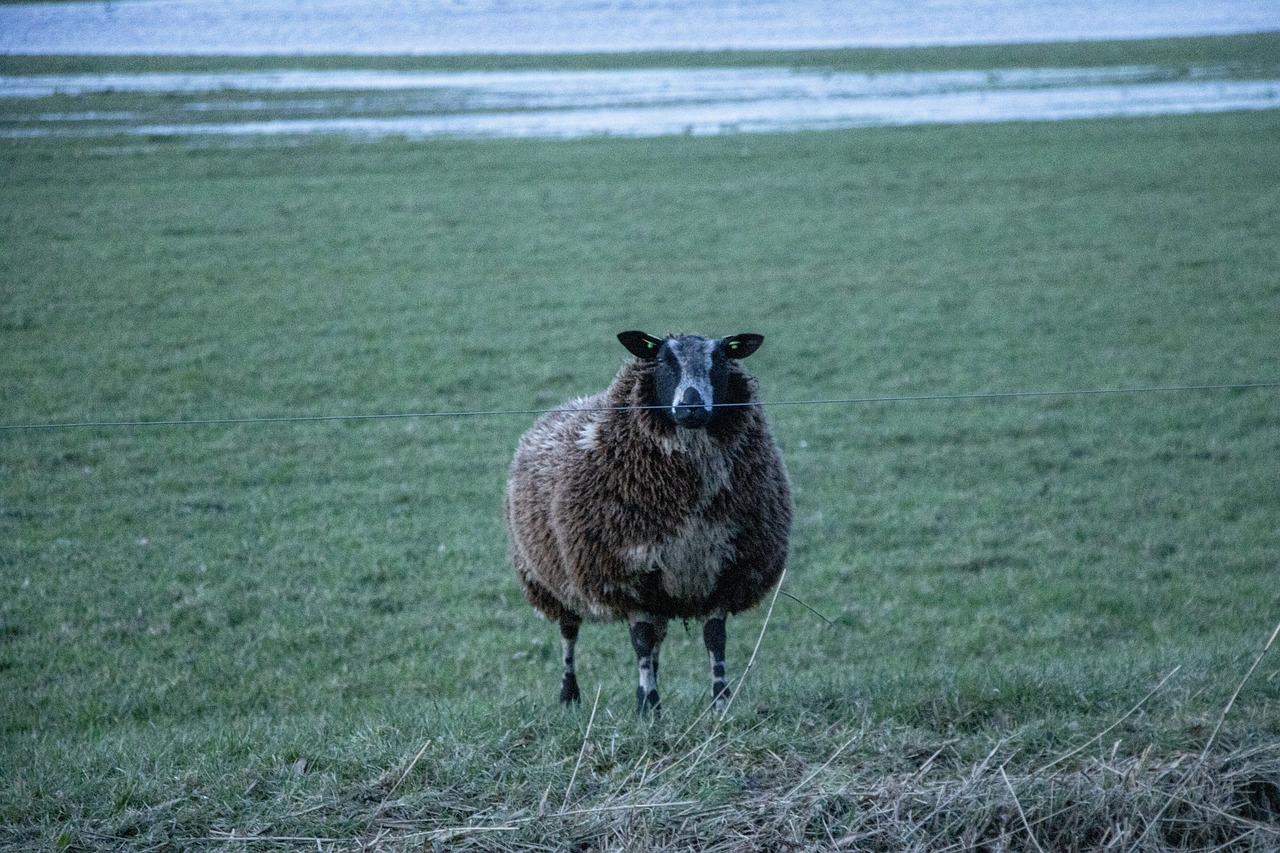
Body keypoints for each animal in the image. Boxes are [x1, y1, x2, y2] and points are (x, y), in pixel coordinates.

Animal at [504, 331, 792, 715]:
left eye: (720, 358)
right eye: (662, 361)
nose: (691, 407)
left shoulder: (723, 569)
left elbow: (714, 639)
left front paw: (719, 702)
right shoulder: (628, 571)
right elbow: (640, 641)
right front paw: (648, 706)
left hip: (662, 593)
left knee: (657, 638)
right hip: (551, 580)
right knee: (569, 633)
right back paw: (570, 695)